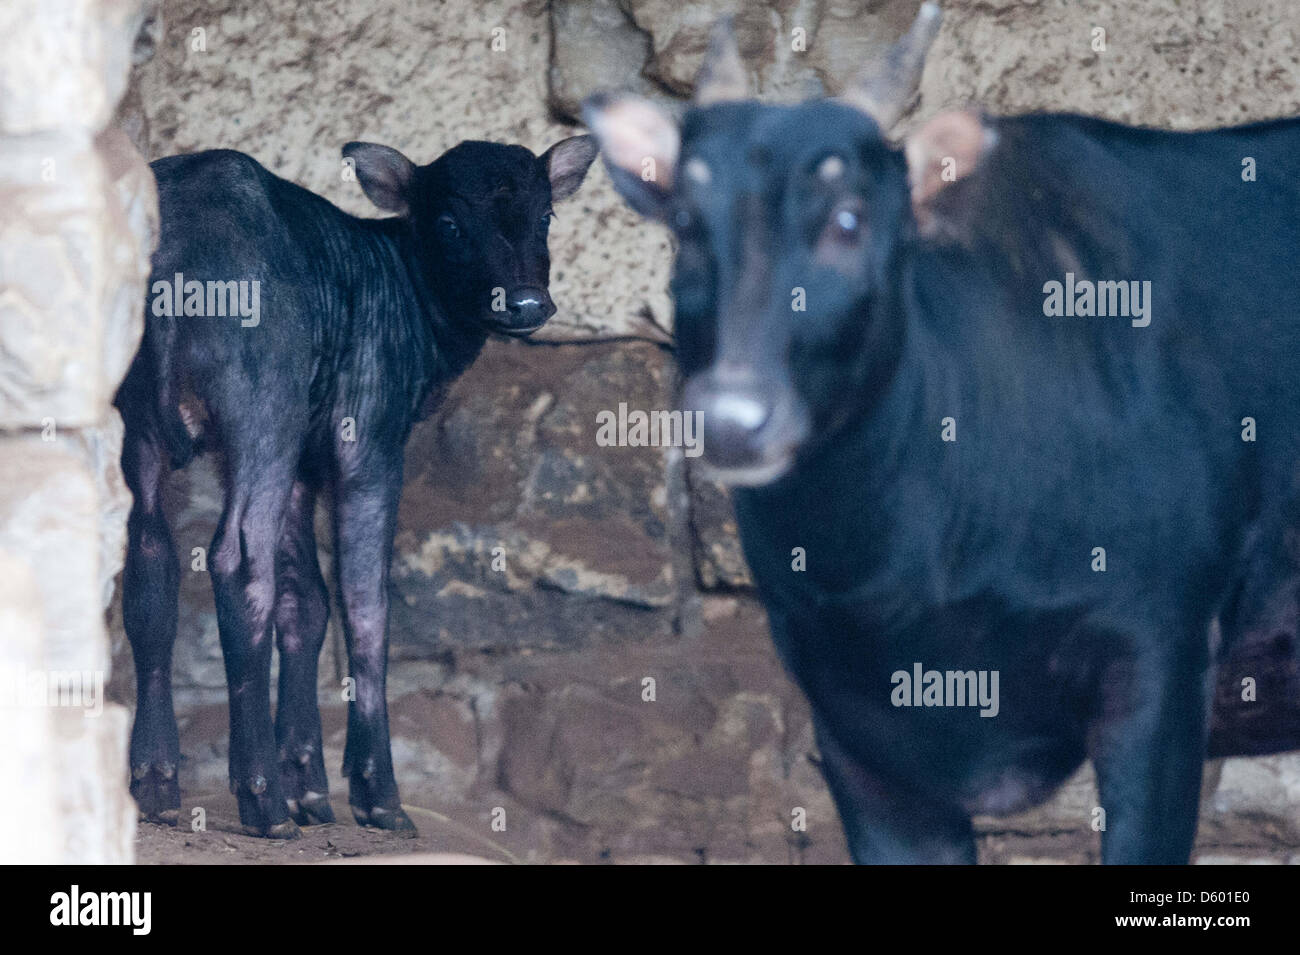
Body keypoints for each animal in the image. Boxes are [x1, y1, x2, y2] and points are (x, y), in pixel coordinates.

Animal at [117, 134, 598, 837]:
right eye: (448, 223)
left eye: (545, 217)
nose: (528, 303)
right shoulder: (367, 441)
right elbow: (366, 604)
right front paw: (375, 796)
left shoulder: (301, 464)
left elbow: (307, 604)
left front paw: (310, 787)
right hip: (263, 412)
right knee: (239, 563)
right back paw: (261, 800)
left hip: (147, 431)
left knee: (151, 563)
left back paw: (156, 787)